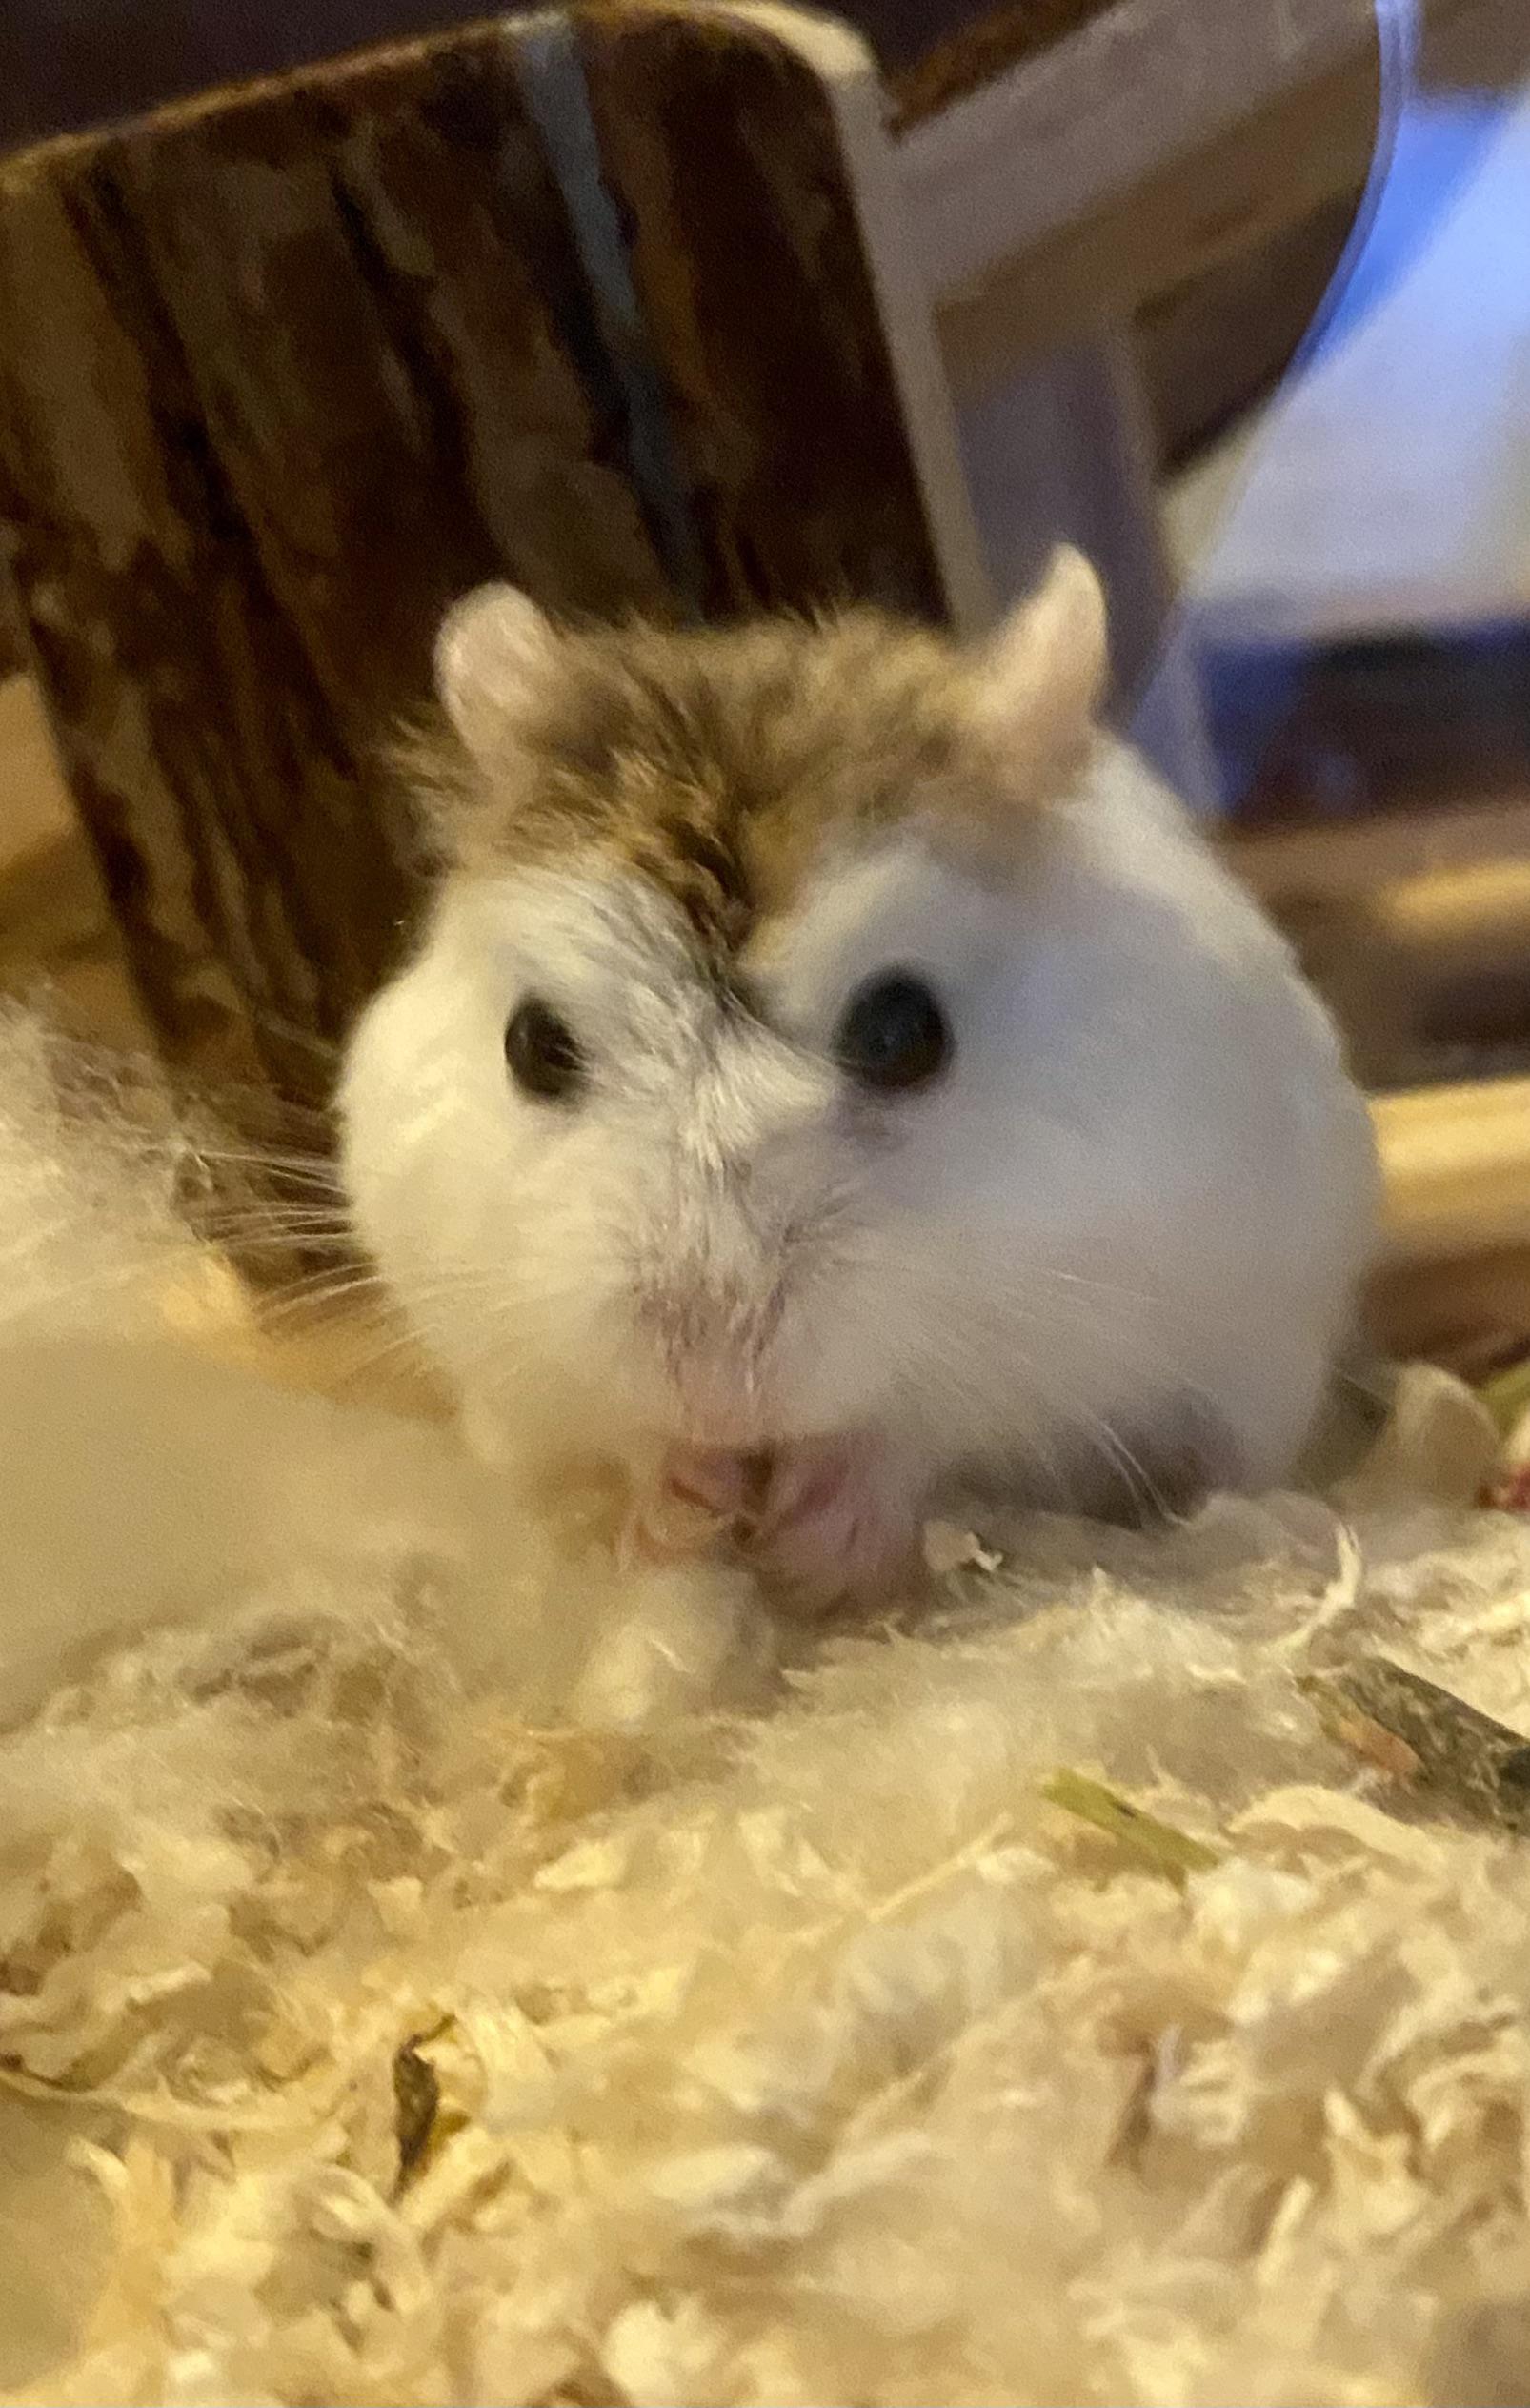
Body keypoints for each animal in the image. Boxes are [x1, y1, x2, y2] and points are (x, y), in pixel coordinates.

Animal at [339, 549, 1380, 1614]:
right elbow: (630, 1434)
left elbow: (906, 1432)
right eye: (533, 1044)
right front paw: (679, 1511)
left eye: (904, 1032)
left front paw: (812, 1543)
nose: (715, 1390)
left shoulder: (1059, 1335)